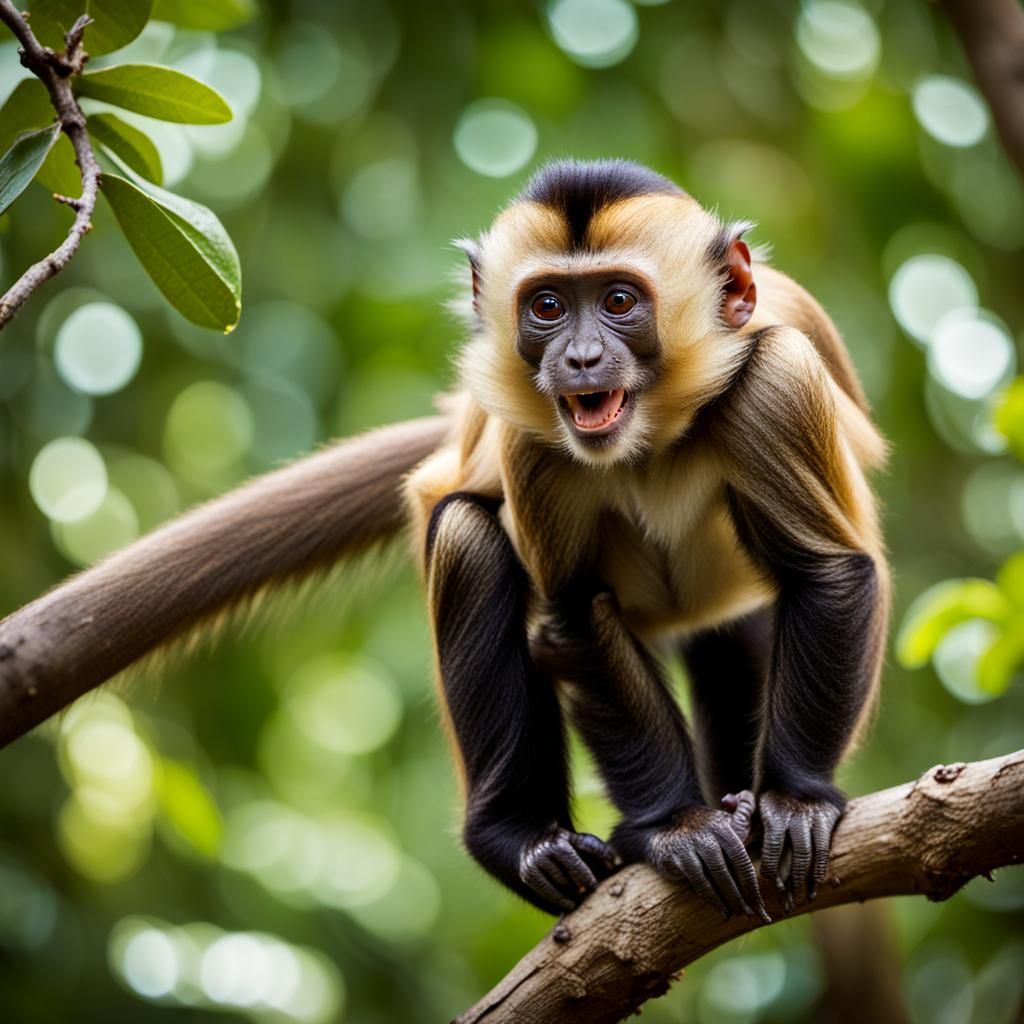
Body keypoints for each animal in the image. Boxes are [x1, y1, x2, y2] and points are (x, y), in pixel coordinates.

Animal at [0, 159, 888, 925]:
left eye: (620, 300)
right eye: (548, 308)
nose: (579, 360)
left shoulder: (774, 379)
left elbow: (829, 573)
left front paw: (795, 800)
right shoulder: (535, 442)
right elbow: (571, 616)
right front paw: (675, 827)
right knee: (467, 534)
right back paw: (523, 842)